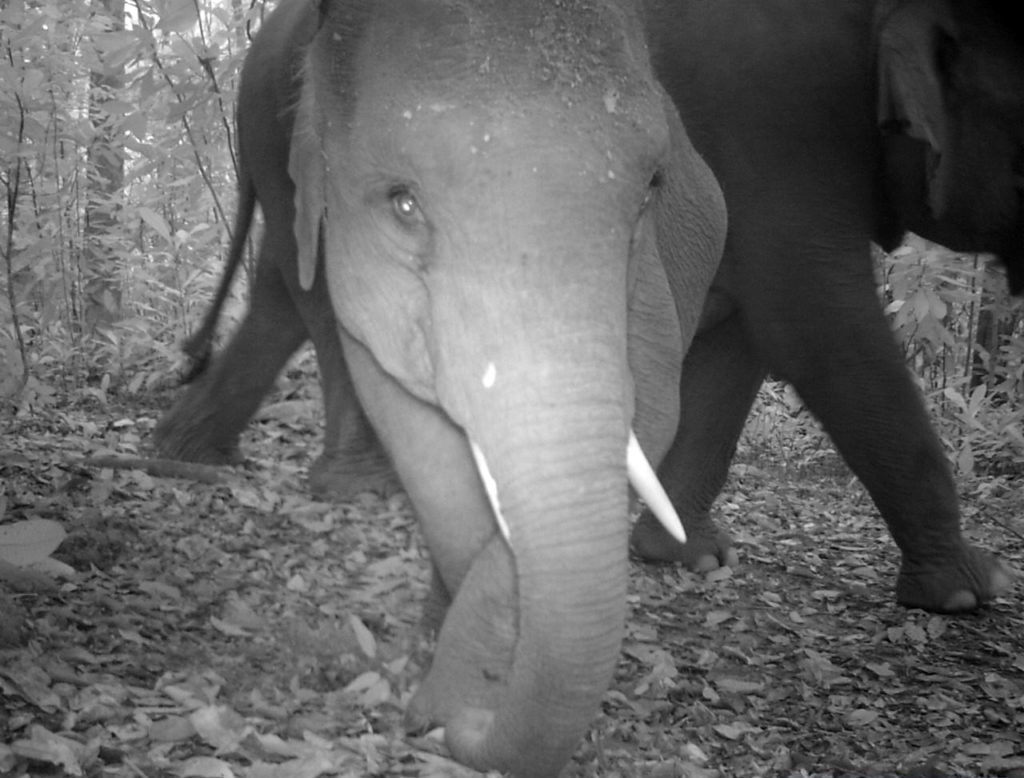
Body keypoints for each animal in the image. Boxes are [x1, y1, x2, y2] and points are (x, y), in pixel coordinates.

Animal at [156, 0, 726, 776]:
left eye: (650, 190)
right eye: (402, 204)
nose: (467, 724)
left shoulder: (655, 268)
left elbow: (656, 408)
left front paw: (449, 689)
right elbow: (412, 425)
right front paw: (445, 689)